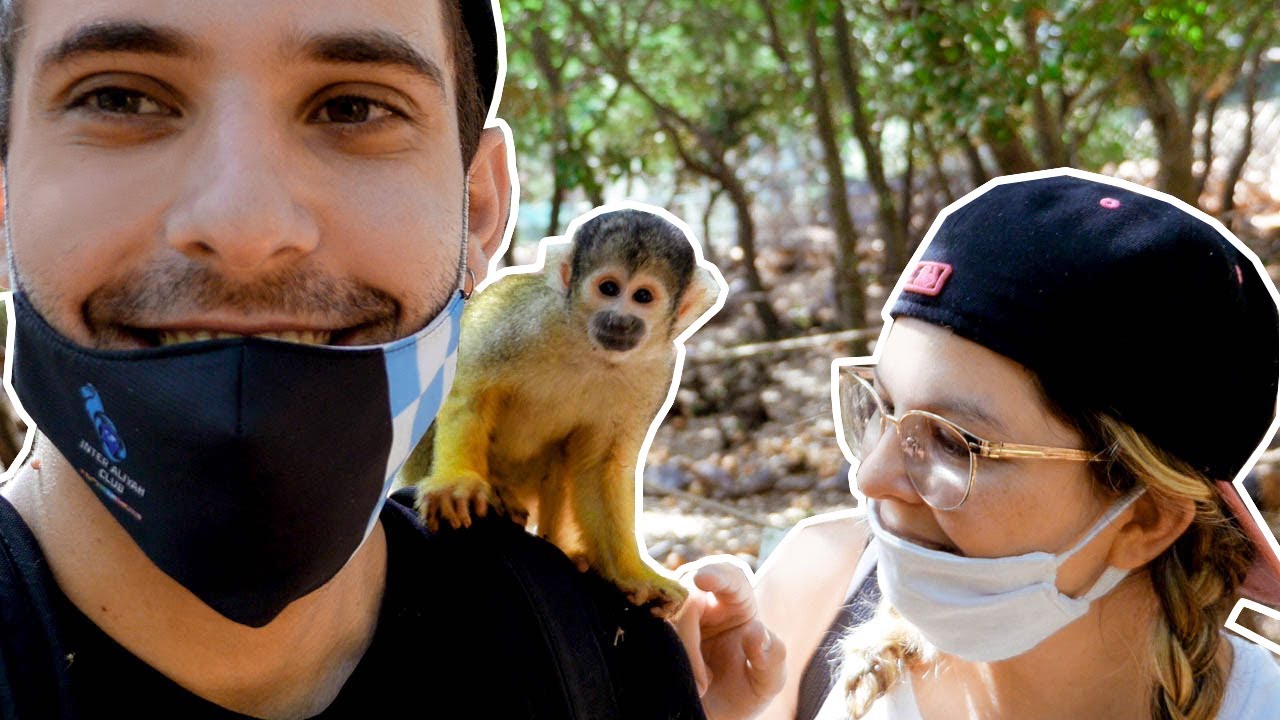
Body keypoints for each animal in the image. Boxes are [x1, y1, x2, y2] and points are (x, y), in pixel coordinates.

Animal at [403, 208, 723, 617]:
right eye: (608, 289)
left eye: (643, 296)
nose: (620, 320)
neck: (590, 348)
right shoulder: (524, 319)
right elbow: (468, 385)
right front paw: (457, 481)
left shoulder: (656, 372)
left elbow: (600, 465)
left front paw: (631, 575)